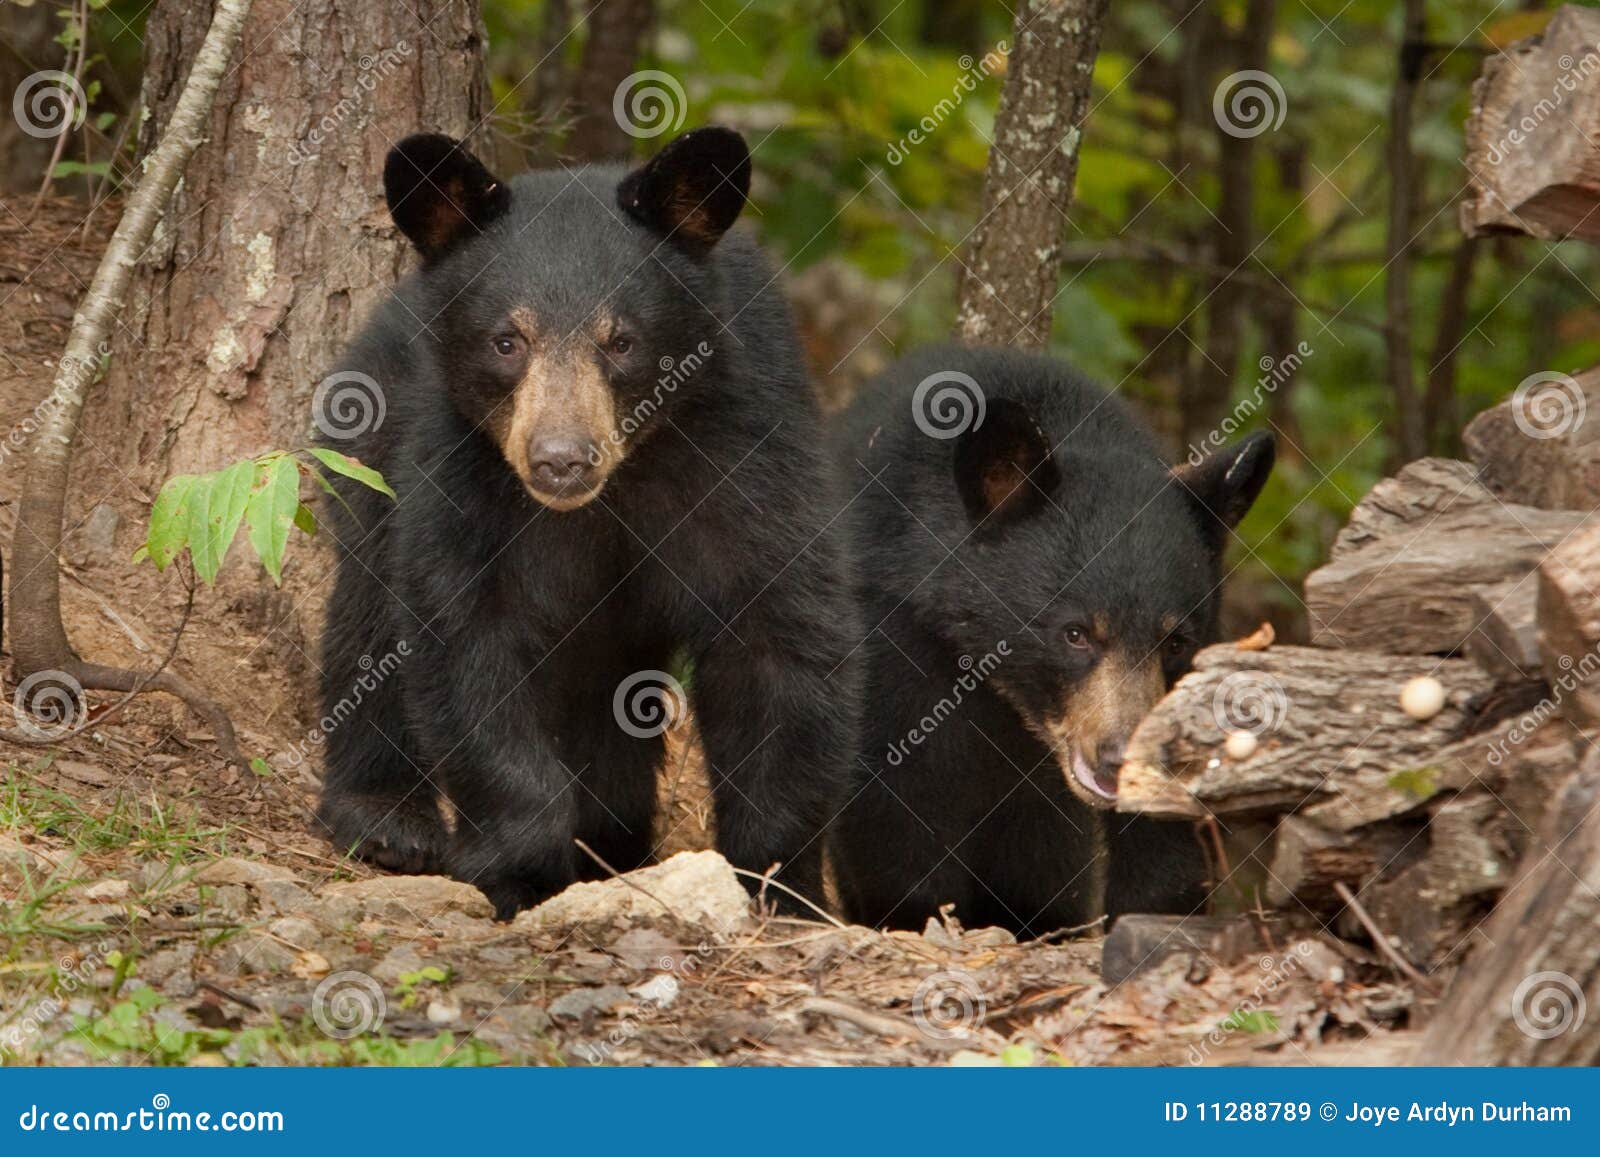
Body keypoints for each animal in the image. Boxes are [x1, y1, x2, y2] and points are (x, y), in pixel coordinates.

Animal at [314, 126, 859, 920]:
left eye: (621, 341)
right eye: (507, 341)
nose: (561, 460)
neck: (616, 485)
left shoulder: (746, 448)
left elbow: (775, 639)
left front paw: (779, 886)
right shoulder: (460, 471)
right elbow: (468, 640)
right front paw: (519, 868)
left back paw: (614, 835)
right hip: (366, 444)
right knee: (367, 617)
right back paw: (388, 819)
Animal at [827, 345, 1274, 936]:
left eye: (1176, 641)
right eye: (1075, 633)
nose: (1118, 758)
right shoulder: (895, 637)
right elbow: (893, 803)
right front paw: (914, 915)